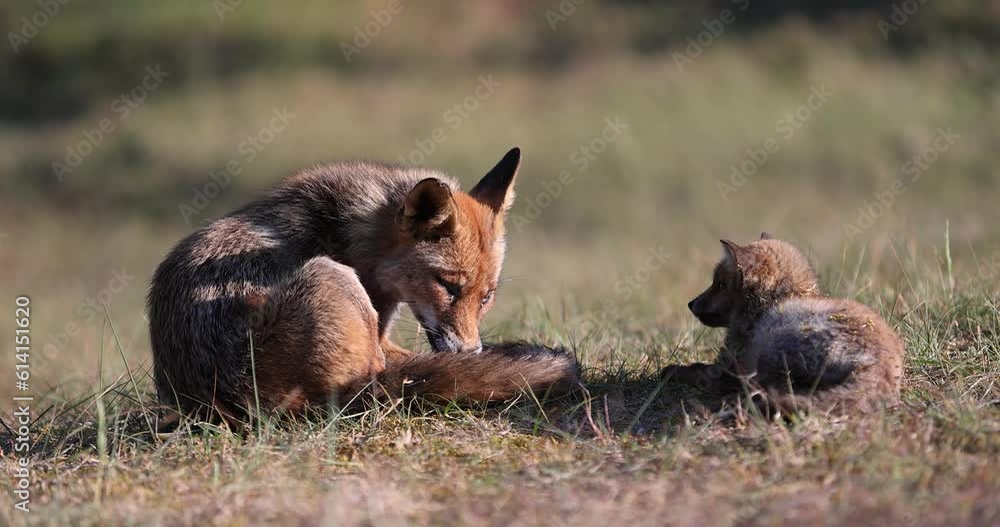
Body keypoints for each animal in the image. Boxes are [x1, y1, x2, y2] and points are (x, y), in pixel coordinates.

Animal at [147, 147, 580, 424]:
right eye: (446, 285)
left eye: (486, 297)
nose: (470, 350)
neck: (355, 235)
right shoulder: (378, 325)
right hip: (333, 279)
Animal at [661, 234, 904, 416]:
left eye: (719, 283)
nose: (691, 304)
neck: (776, 300)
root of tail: (884, 365)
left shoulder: (727, 362)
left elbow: (698, 372)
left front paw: (672, 371)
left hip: (775, 345)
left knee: (760, 385)